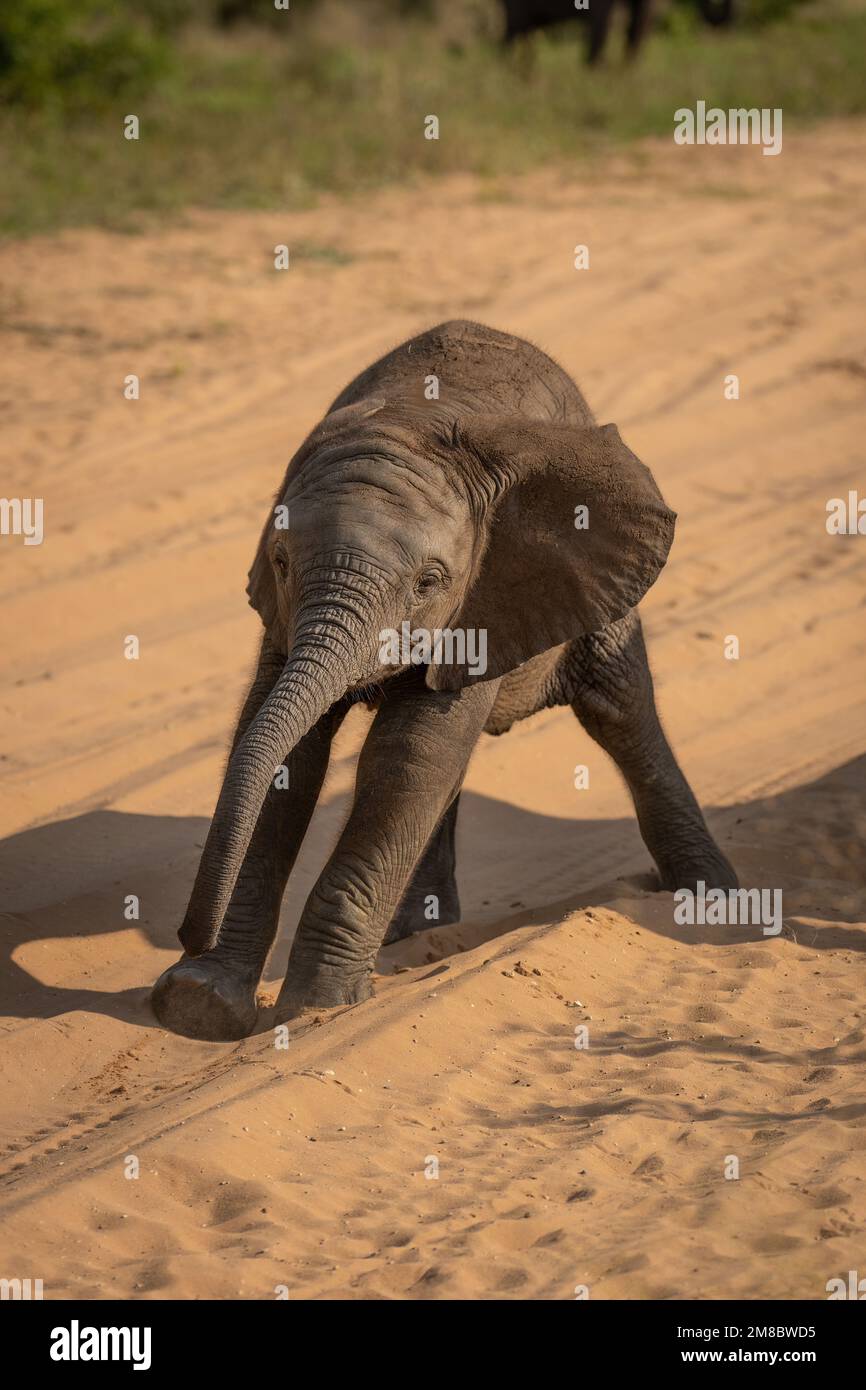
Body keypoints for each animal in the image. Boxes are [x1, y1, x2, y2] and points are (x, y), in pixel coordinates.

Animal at [151, 319, 737, 1042]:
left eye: (429, 583)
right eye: (282, 562)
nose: (189, 935)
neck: (406, 421)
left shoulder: (486, 595)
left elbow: (407, 758)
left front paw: (316, 1008)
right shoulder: (281, 619)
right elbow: (286, 753)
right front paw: (200, 1005)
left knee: (620, 713)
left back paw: (714, 904)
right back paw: (415, 936)